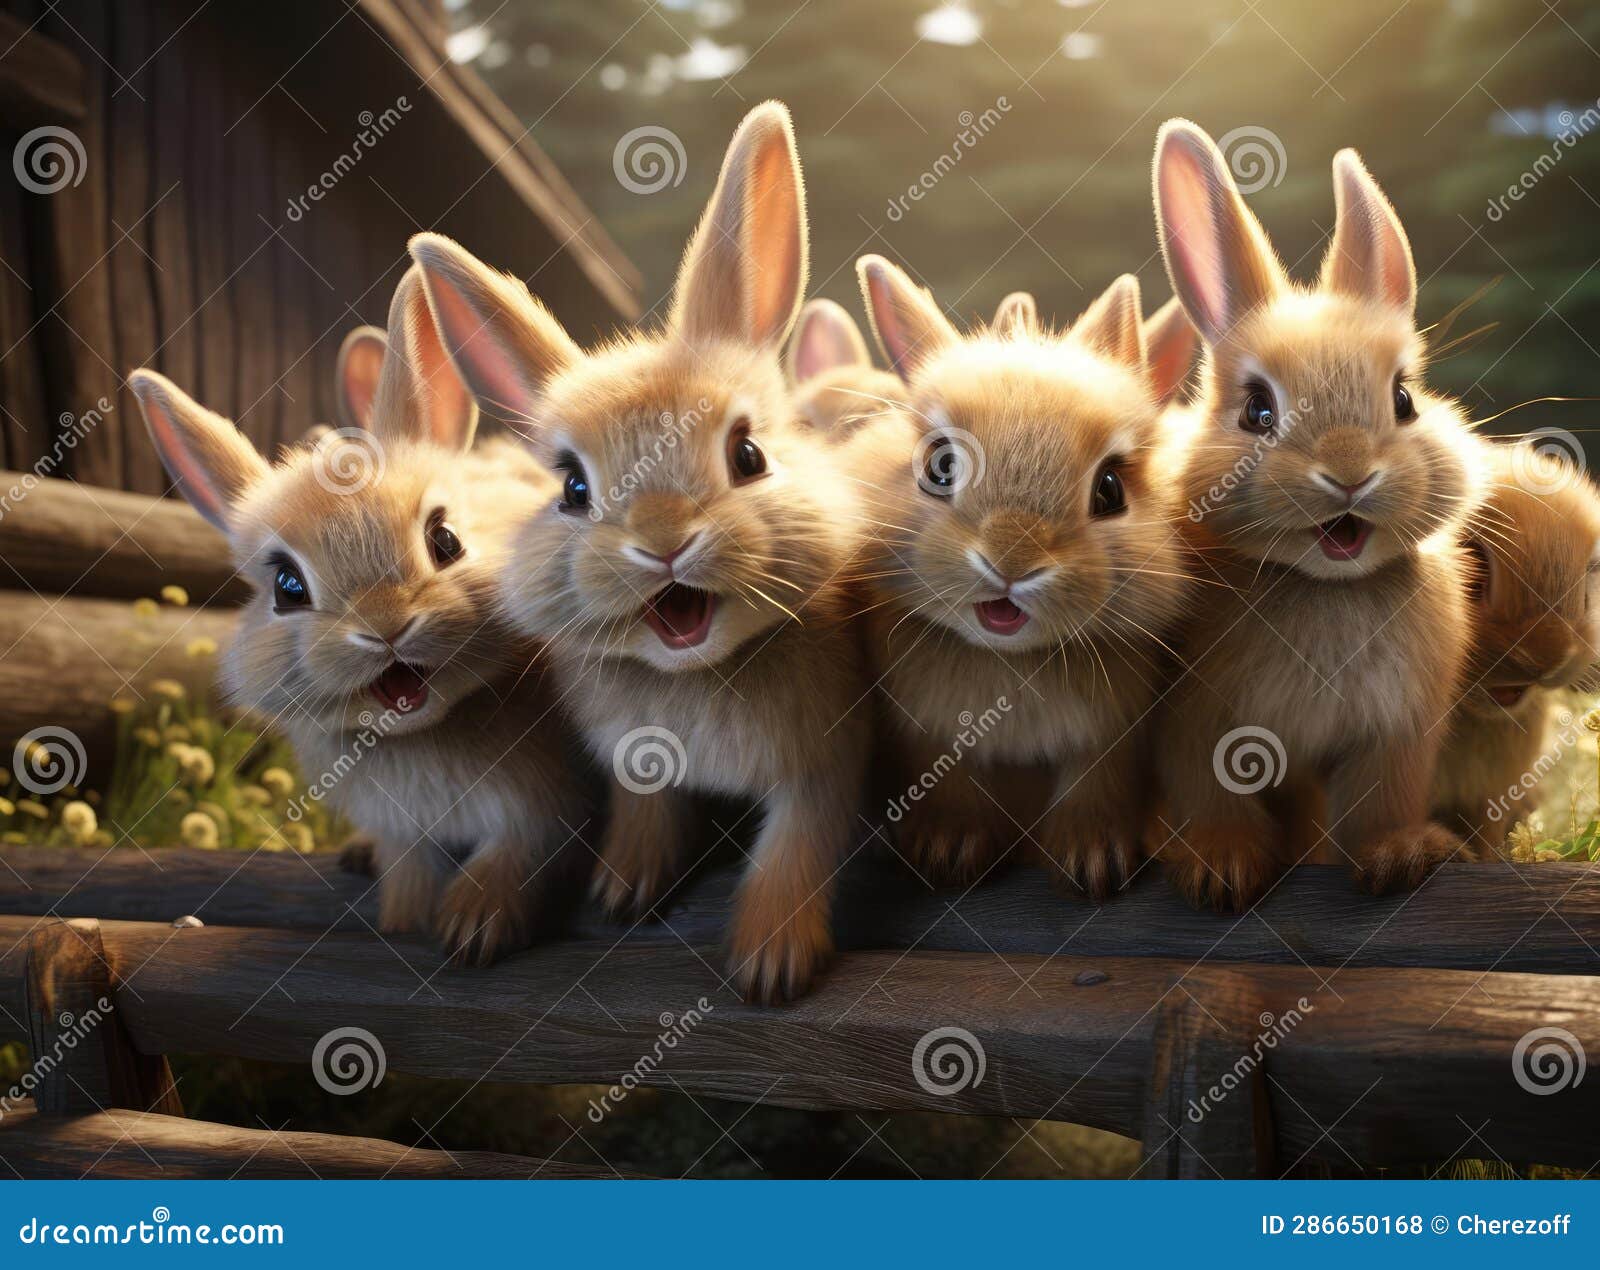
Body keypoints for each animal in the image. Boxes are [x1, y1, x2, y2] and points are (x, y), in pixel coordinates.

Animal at [129, 265, 591, 967]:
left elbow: (512, 859)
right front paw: (403, 924)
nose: (385, 628)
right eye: (287, 586)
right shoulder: (407, 837)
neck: (422, 731)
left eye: (445, 540)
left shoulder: (538, 812)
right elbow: (409, 880)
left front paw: (472, 931)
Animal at [406, 102, 876, 1004]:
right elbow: (645, 813)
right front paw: (621, 888)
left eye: (748, 455)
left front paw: (771, 963)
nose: (662, 544)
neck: (690, 672)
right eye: (572, 488)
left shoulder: (824, 770)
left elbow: (794, 851)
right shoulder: (635, 768)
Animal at [853, 259, 1195, 898]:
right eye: (940, 465)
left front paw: (1093, 861)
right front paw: (948, 850)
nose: (1011, 562)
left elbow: (1096, 784)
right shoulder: (924, 731)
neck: (1012, 659)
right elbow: (948, 781)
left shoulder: (1112, 735)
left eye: (1110, 488)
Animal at [1150, 119, 1490, 908]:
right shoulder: (1195, 725)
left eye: (1403, 398)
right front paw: (1220, 869)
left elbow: (1379, 805)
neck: (1325, 586)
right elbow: (1210, 795)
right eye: (1257, 410)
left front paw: (1399, 857)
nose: (1349, 474)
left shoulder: (1397, 734)